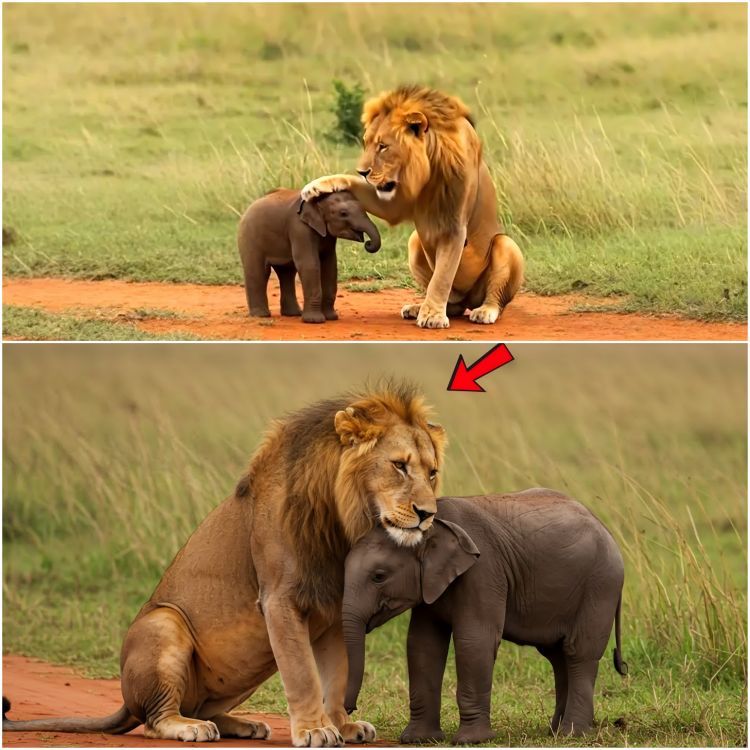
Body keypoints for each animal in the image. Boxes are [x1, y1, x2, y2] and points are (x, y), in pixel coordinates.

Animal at [3, 382, 446, 748]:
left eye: (432, 472)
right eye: (399, 465)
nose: (428, 514)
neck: (344, 522)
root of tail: (127, 700)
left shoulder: (335, 604)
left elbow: (334, 673)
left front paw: (343, 724)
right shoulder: (279, 600)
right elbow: (303, 673)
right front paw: (315, 730)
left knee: (202, 706)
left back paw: (242, 724)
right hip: (165, 622)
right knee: (155, 720)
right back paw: (191, 728)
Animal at [238, 188, 381, 323]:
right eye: (343, 214)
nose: (368, 244)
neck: (317, 201)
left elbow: (329, 266)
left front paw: (331, 318)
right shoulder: (300, 229)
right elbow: (310, 264)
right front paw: (314, 321)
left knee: (287, 273)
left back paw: (293, 314)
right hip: (249, 237)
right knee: (258, 272)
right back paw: (261, 315)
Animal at [301, 85, 524, 330]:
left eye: (383, 146)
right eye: (366, 143)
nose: (362, 171)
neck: (427, 171)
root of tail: (466, 301)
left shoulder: (454, 226)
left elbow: (442, 276)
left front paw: (433, 316)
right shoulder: (394, 201)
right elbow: (353, 184)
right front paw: (315, 187)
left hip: (505, 246)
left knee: (494, 298)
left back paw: (484, 311)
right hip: (415, 243)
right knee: (451, 303)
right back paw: (420, 307)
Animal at [342, 489, 628, 744]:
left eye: (379, 576)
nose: (350, 711)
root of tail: (607, 531)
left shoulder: (483, 571)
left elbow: (474, 642)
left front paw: (471, 741)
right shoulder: (430, 583)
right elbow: (422, 645)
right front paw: (418, 739)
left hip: (600, 586)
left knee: (579, 653)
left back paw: (573, 734)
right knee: (558, 656)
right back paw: (555, 732)